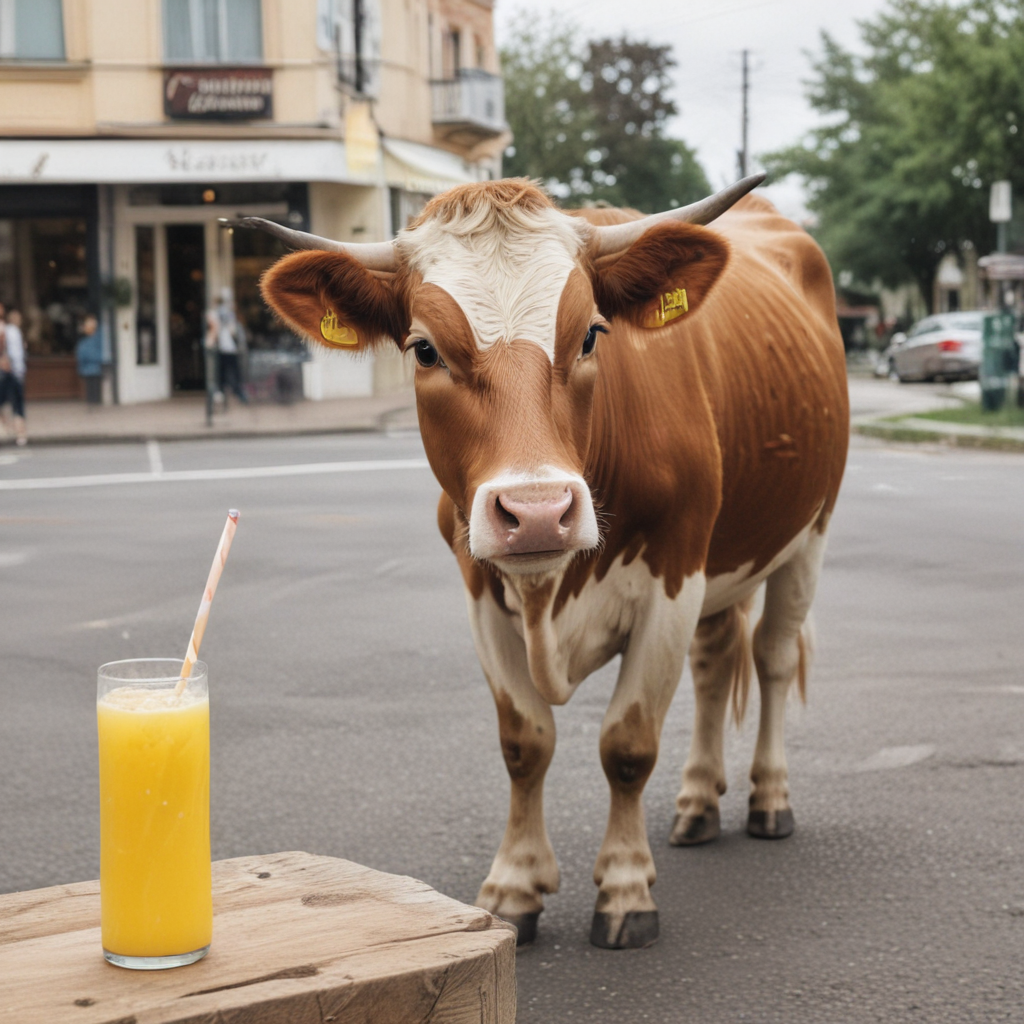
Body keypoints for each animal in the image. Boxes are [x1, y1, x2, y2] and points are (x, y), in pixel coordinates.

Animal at [247, 173, 849, 950]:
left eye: (591, 334)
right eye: (423, 350)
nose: (535, 510)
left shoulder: (675, 577)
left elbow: (627, 743)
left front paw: (625, 887)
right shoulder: (480, 593)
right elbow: (525, 743)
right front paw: (515, 885)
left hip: (809, 534)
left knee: (773, 658)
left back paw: (769, 796)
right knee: (716, 664)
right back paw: (697, 802)